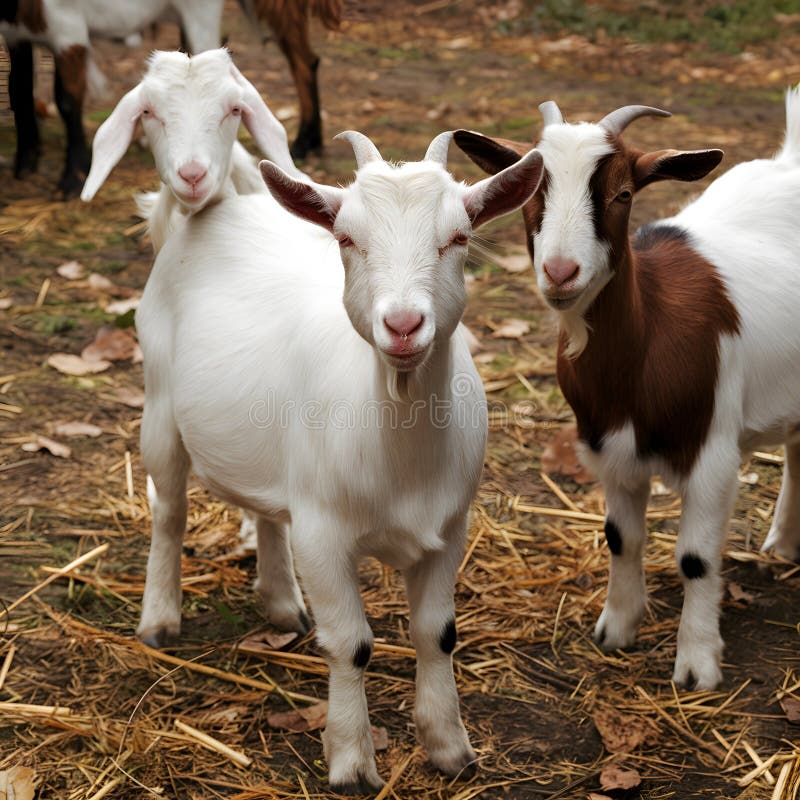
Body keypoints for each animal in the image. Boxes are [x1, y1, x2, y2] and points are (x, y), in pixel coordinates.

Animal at [135, 130, 543, 792]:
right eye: (348, 239)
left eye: (458, 238)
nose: (403, 324)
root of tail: (221, 209)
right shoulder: (323, 533)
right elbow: (351, 643)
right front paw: (351, 761)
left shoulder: (450, 528)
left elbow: (437, 634)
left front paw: (450, 748)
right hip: (159, 402)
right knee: (168, 511)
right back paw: (159, 620)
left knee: (267, 513)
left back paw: (281, 602)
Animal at [454, 92, 800, 691]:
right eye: (534, 191)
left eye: (621, 194)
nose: (560, 271)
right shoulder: (606, 449)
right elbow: (621, 538)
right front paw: (617, 628)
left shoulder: (712, 453)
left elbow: (696, 559)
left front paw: (697, 665)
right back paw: (782, 544)